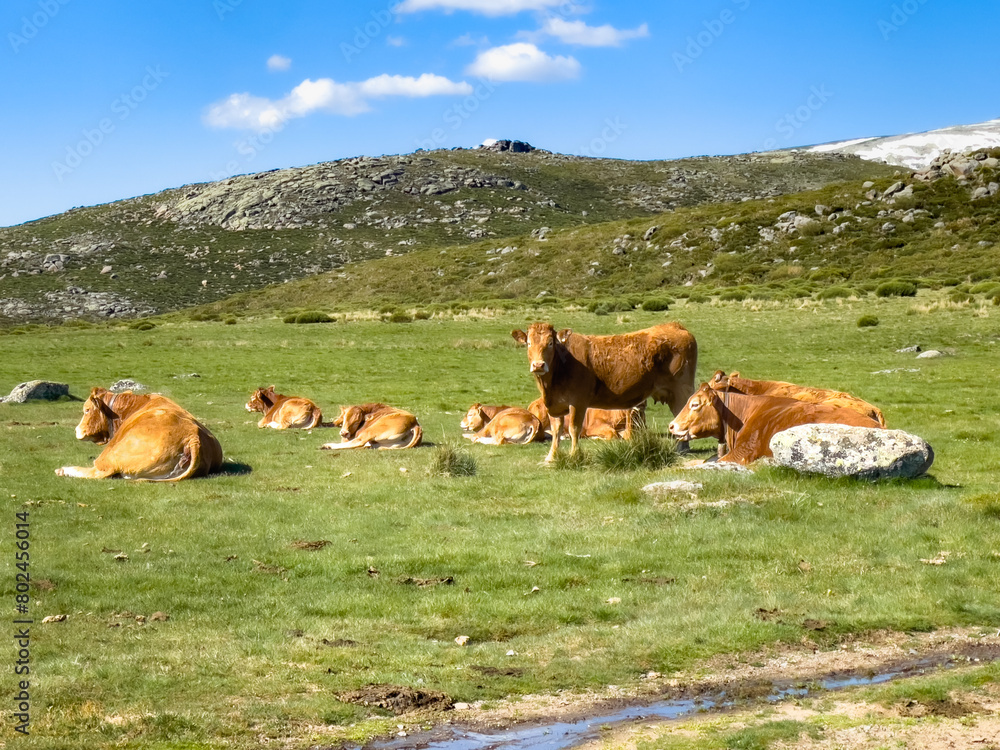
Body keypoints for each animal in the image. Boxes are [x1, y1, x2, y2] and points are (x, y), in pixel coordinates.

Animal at [56, 388, 224, 480]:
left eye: (87, 410)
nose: (76, 430)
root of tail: (193, 437)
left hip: (112, 455)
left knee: (97, 472)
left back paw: (63, 470)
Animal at [511, 322, 697, 462]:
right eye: (529, 343)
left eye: (550, 343)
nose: (538, 365)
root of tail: (675, 325)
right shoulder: (555, 405)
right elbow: (557, 429)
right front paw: (551, 457)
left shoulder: (578, 402)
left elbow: (573, 428)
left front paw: (574, 455)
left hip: (682, 389)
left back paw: (681, 449)